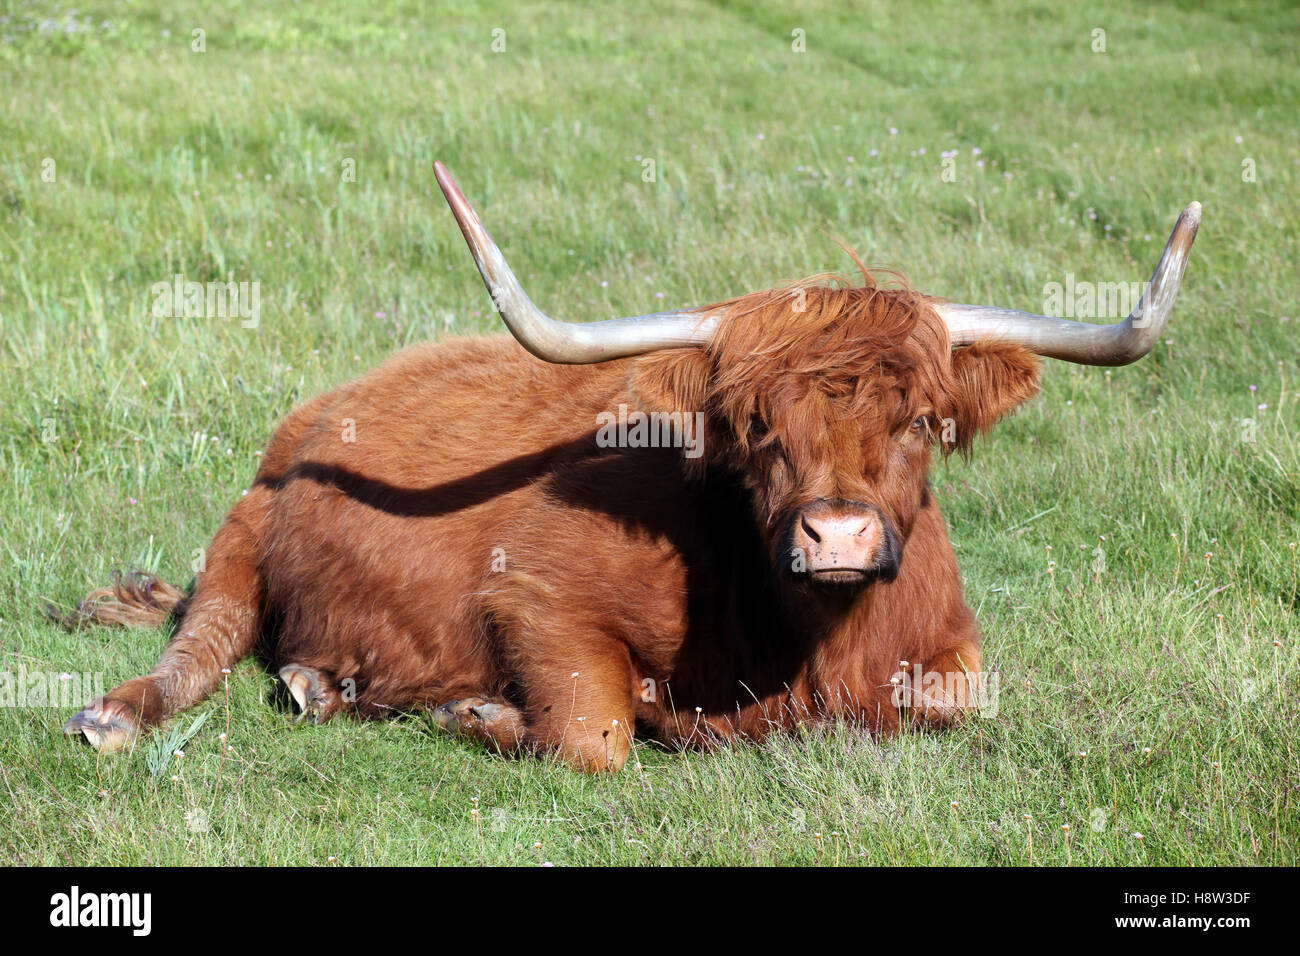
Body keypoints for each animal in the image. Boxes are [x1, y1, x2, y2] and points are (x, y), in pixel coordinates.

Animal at [57, 163, 1201, 771]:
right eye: (753, 423)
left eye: (923, 418)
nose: (838, 534)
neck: (816, 648)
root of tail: (320, 411)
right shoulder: (537, 598)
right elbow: (596, 733)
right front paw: (482, 712)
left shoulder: (950, 654)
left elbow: (963, 700)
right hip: (240, 539)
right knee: (196, 648)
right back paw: (116, 713)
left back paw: (315, 683)